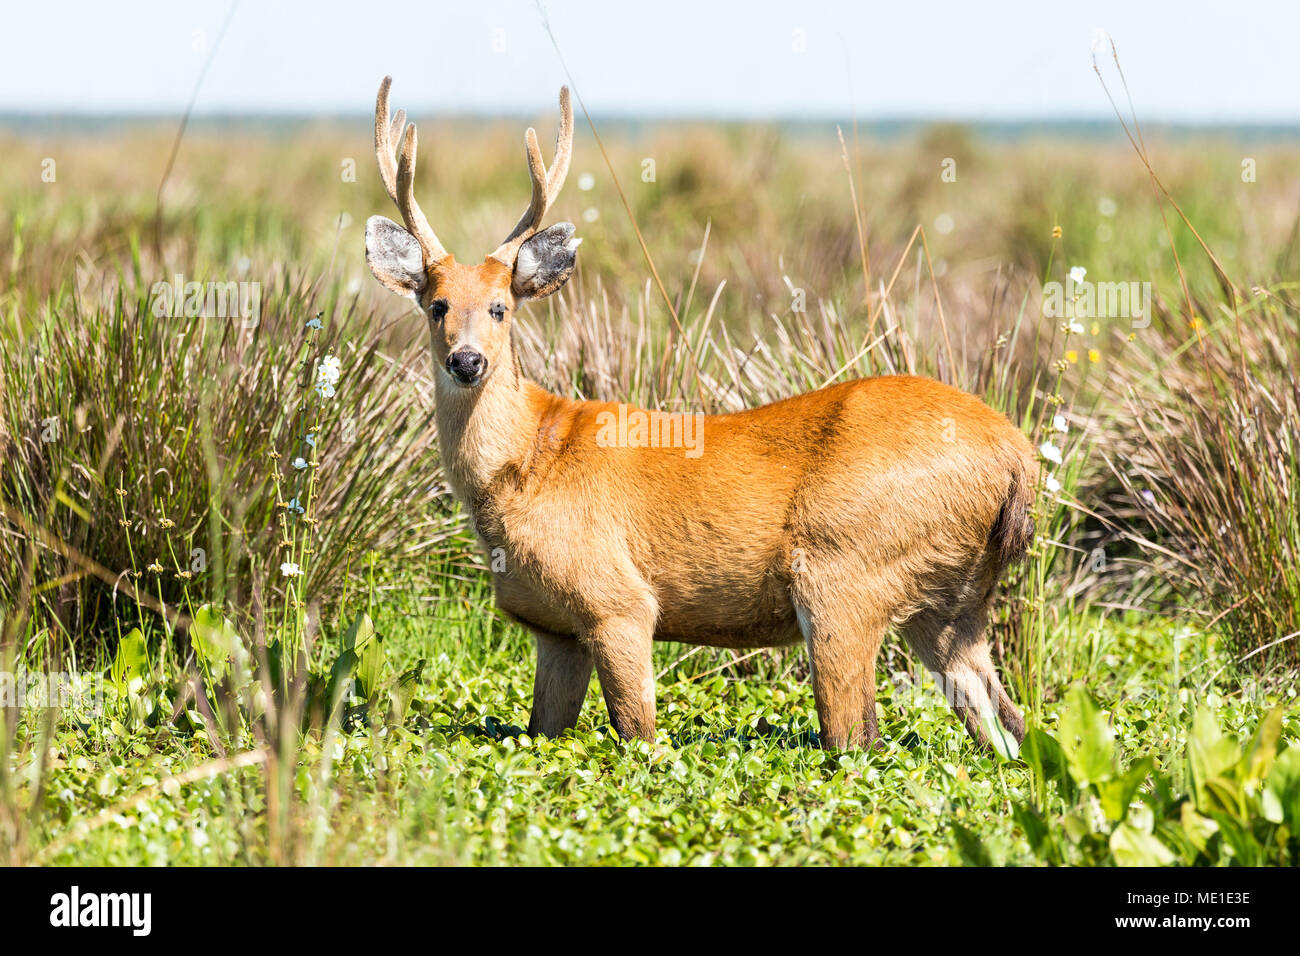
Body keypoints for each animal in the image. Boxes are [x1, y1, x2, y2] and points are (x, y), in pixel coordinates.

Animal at [363, 76, 1037, 752]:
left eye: (500, 306)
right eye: (436, 305)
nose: (467, 361)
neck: (525, 463)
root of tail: (1018, 455)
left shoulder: (618, 601)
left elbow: (638, 736)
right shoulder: (555, 630)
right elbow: (543, 730)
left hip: (845, 574)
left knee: (856, 740)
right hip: (951, 605)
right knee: (1006, 724)